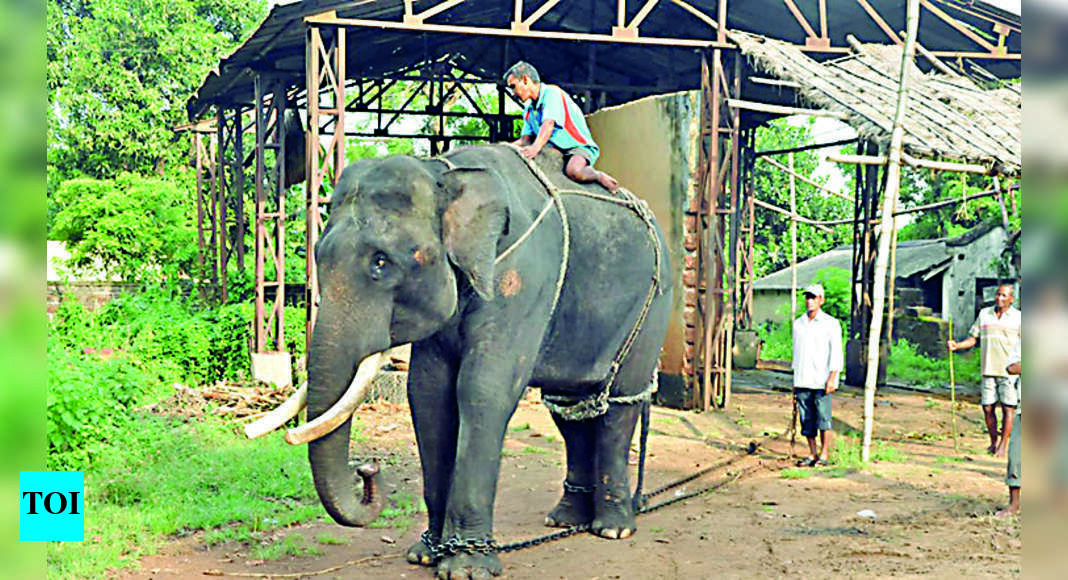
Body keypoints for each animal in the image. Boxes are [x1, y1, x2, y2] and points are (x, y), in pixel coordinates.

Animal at [292, 143, 671, 579]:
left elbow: (483, 389)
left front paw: (464, 568)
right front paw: (425, 554)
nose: (368, 471)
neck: (444, 173)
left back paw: (612, 528)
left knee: (619, 407)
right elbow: (427, 394)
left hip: (653, 308)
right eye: (318, 256)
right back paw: (563, 519)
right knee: (568, 406)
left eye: (380, 262)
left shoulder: (521, 277)